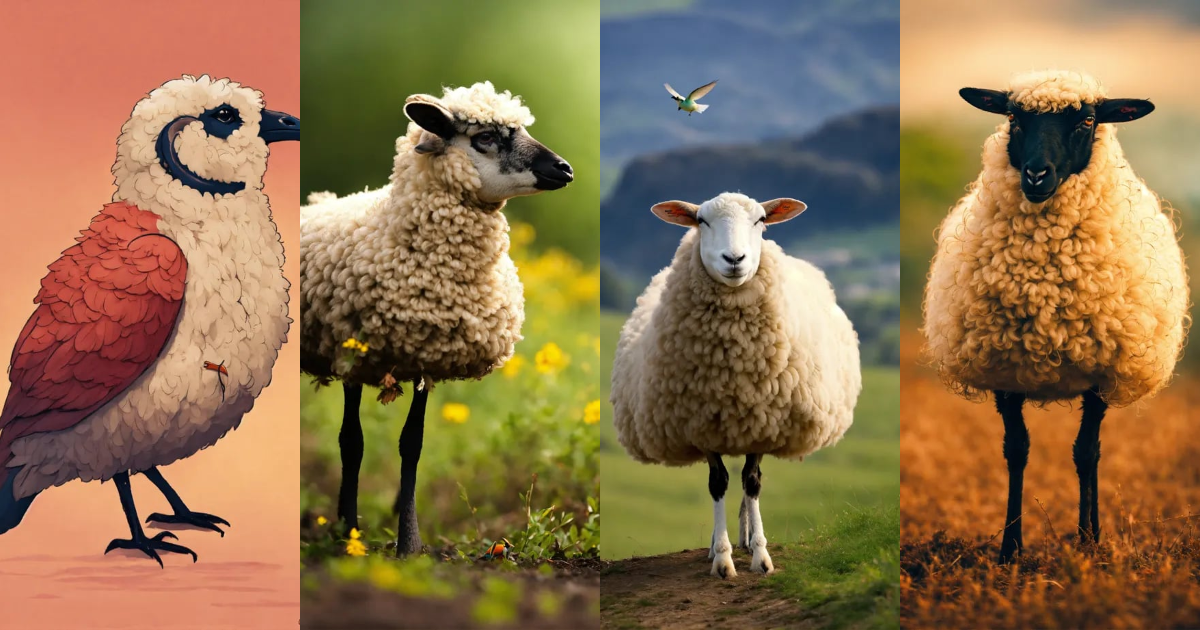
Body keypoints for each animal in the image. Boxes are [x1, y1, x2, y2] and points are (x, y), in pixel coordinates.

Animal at [300, 81, 573, 555]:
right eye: (485, 137)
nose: (564, 168)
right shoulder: (352, 352)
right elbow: (352, 442)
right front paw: (350, 533)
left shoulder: (427, 357)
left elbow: (413, 444)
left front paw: (409, 543)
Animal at [611, 192, 861, 578]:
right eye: (701, 221)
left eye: (761, 220)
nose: (734, 259)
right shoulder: (702, 427)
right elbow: (718, 483)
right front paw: (723, 559)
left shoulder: (763, 423)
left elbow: (752, 481)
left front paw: (760, 555)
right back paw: (720, 544)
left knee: (748, 481)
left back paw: (746, 537)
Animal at [922, 69, 1190, 562]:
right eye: (1014, 117)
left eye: (1086, 120)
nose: (1036, 174)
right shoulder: (1005, 370)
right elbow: (1016, 450)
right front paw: (1010, 549)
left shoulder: (1102, 371)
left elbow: (1086, 453)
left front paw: (1088, 543)